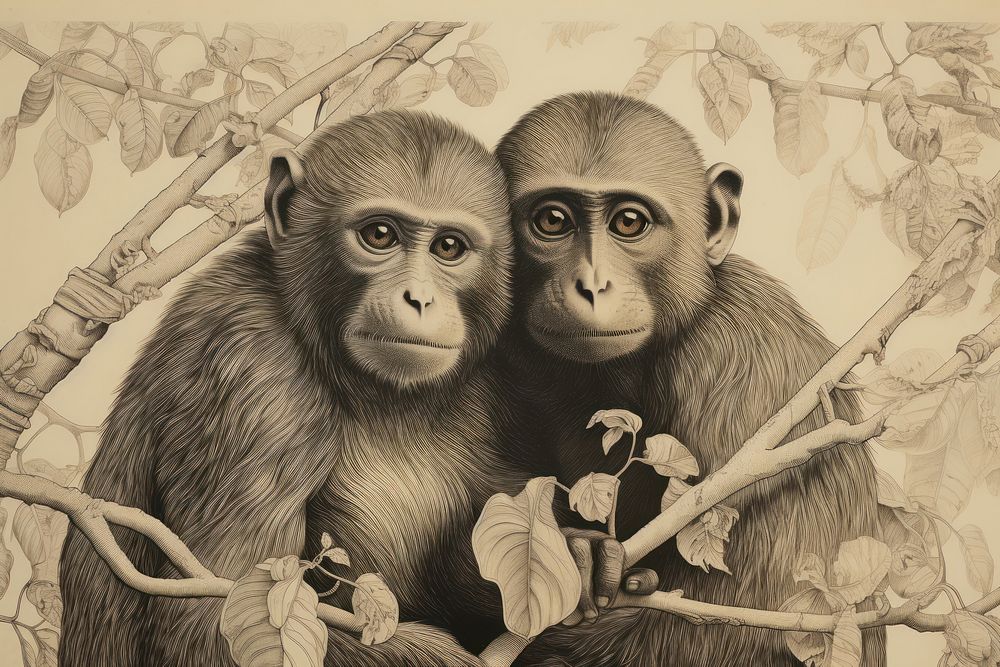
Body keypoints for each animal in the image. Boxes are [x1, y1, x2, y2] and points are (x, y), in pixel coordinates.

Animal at [495, 92, 887, 666]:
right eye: (551, 220)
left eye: (628, 223)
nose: (591, 283)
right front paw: (573, 551)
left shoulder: (737, 363)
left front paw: (585, 557)